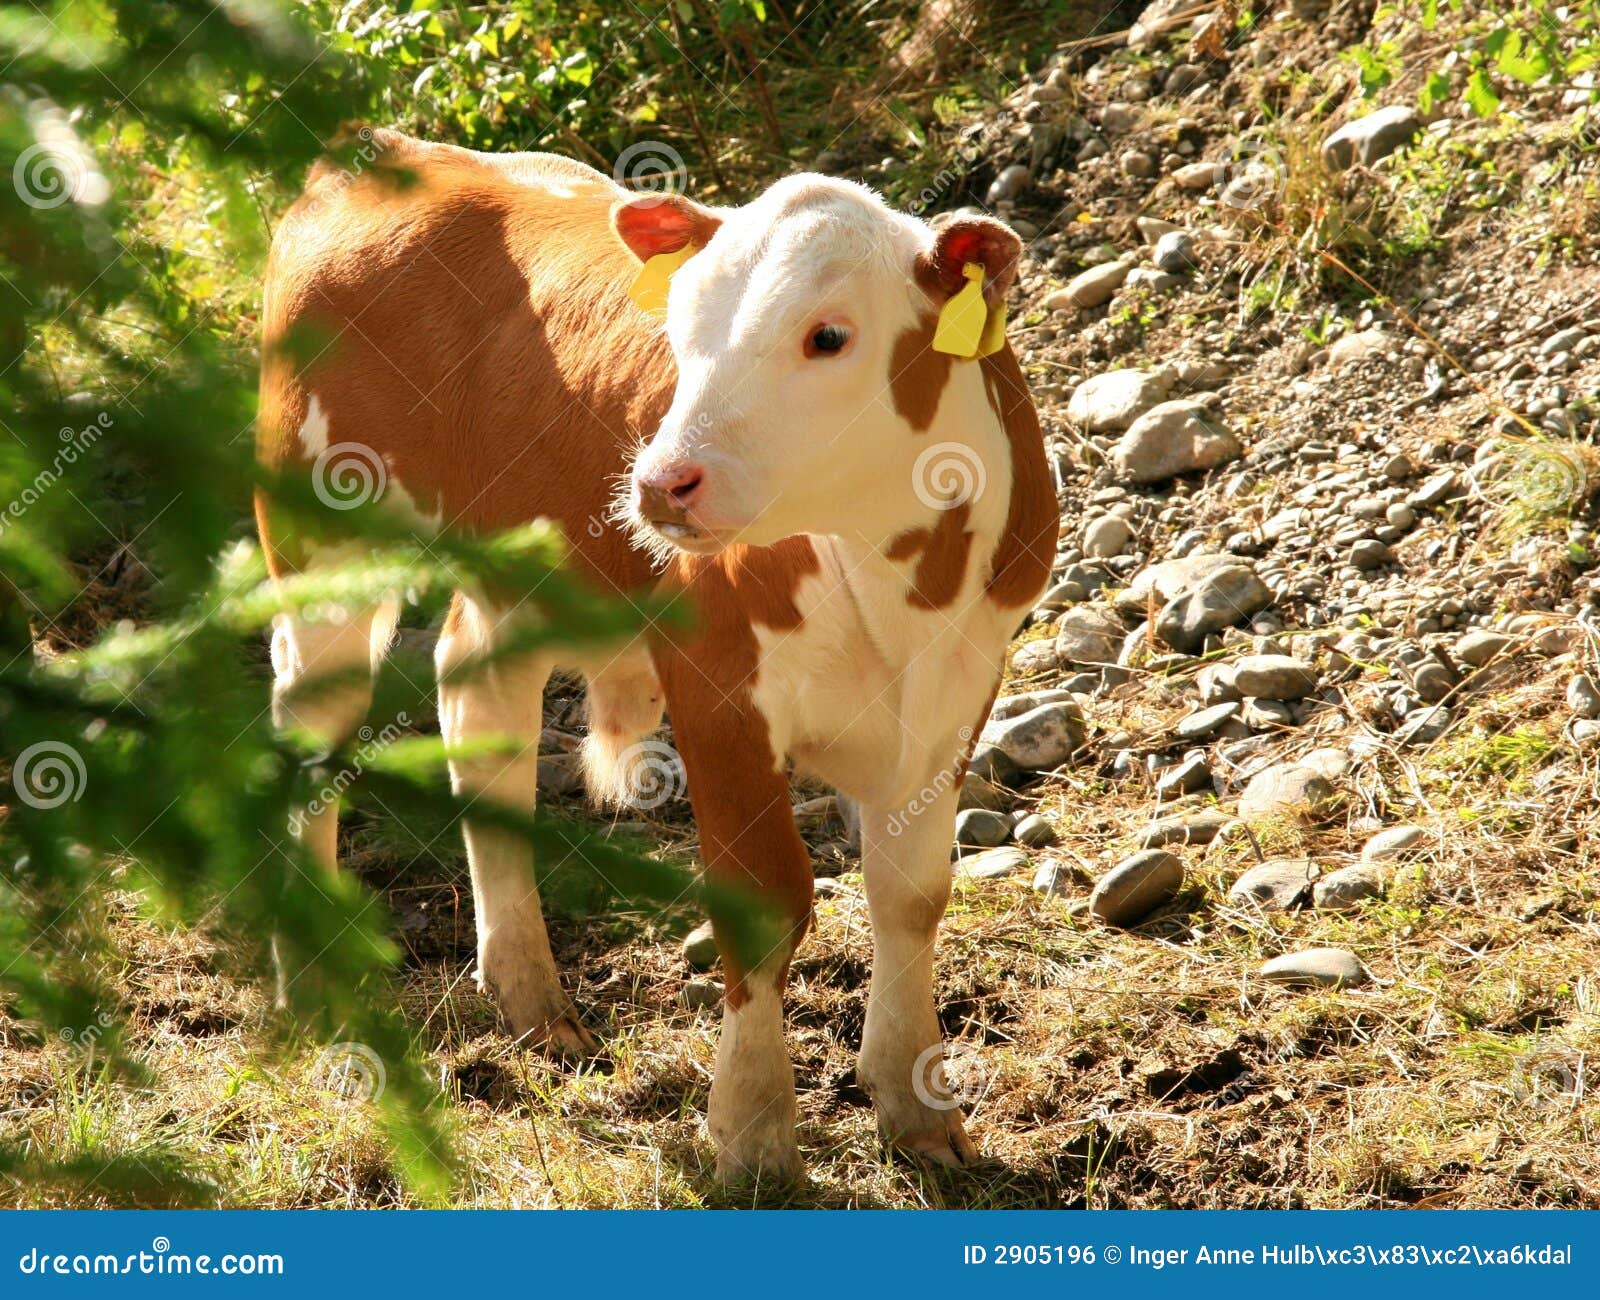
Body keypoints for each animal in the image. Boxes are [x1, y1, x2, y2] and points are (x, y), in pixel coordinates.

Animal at [256, 127, 1056, 1181]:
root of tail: (383, 149)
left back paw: (532, 999)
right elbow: (767, 901)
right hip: (323, 544)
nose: (660, 482)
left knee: (480, 705)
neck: (889, 575)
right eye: (679, 328)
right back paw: (308, 977)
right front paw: (753, 1137)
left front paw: (916, 1108)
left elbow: (912, 894)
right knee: (307, 725)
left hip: (513, 568)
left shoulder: (961, 684)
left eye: (829, 335)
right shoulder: (718, 686)